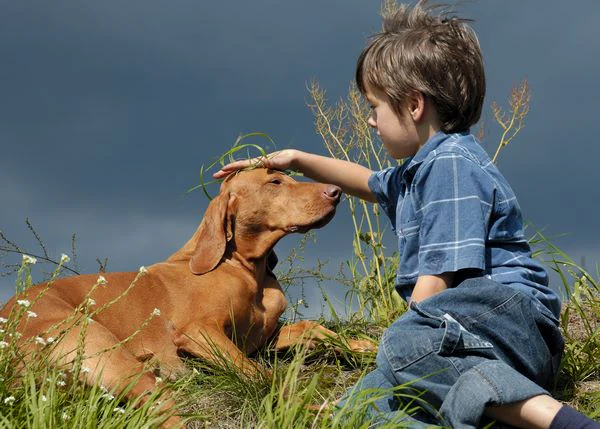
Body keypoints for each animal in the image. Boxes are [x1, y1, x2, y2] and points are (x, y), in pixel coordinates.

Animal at [1, 167, 376, 424]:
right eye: (275, 183)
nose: (336, 191)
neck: (244, 268)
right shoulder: (199, 332)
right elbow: (261, 373)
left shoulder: (261, 340)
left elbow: (315, 329)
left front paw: (363, 347)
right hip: (105, 350)